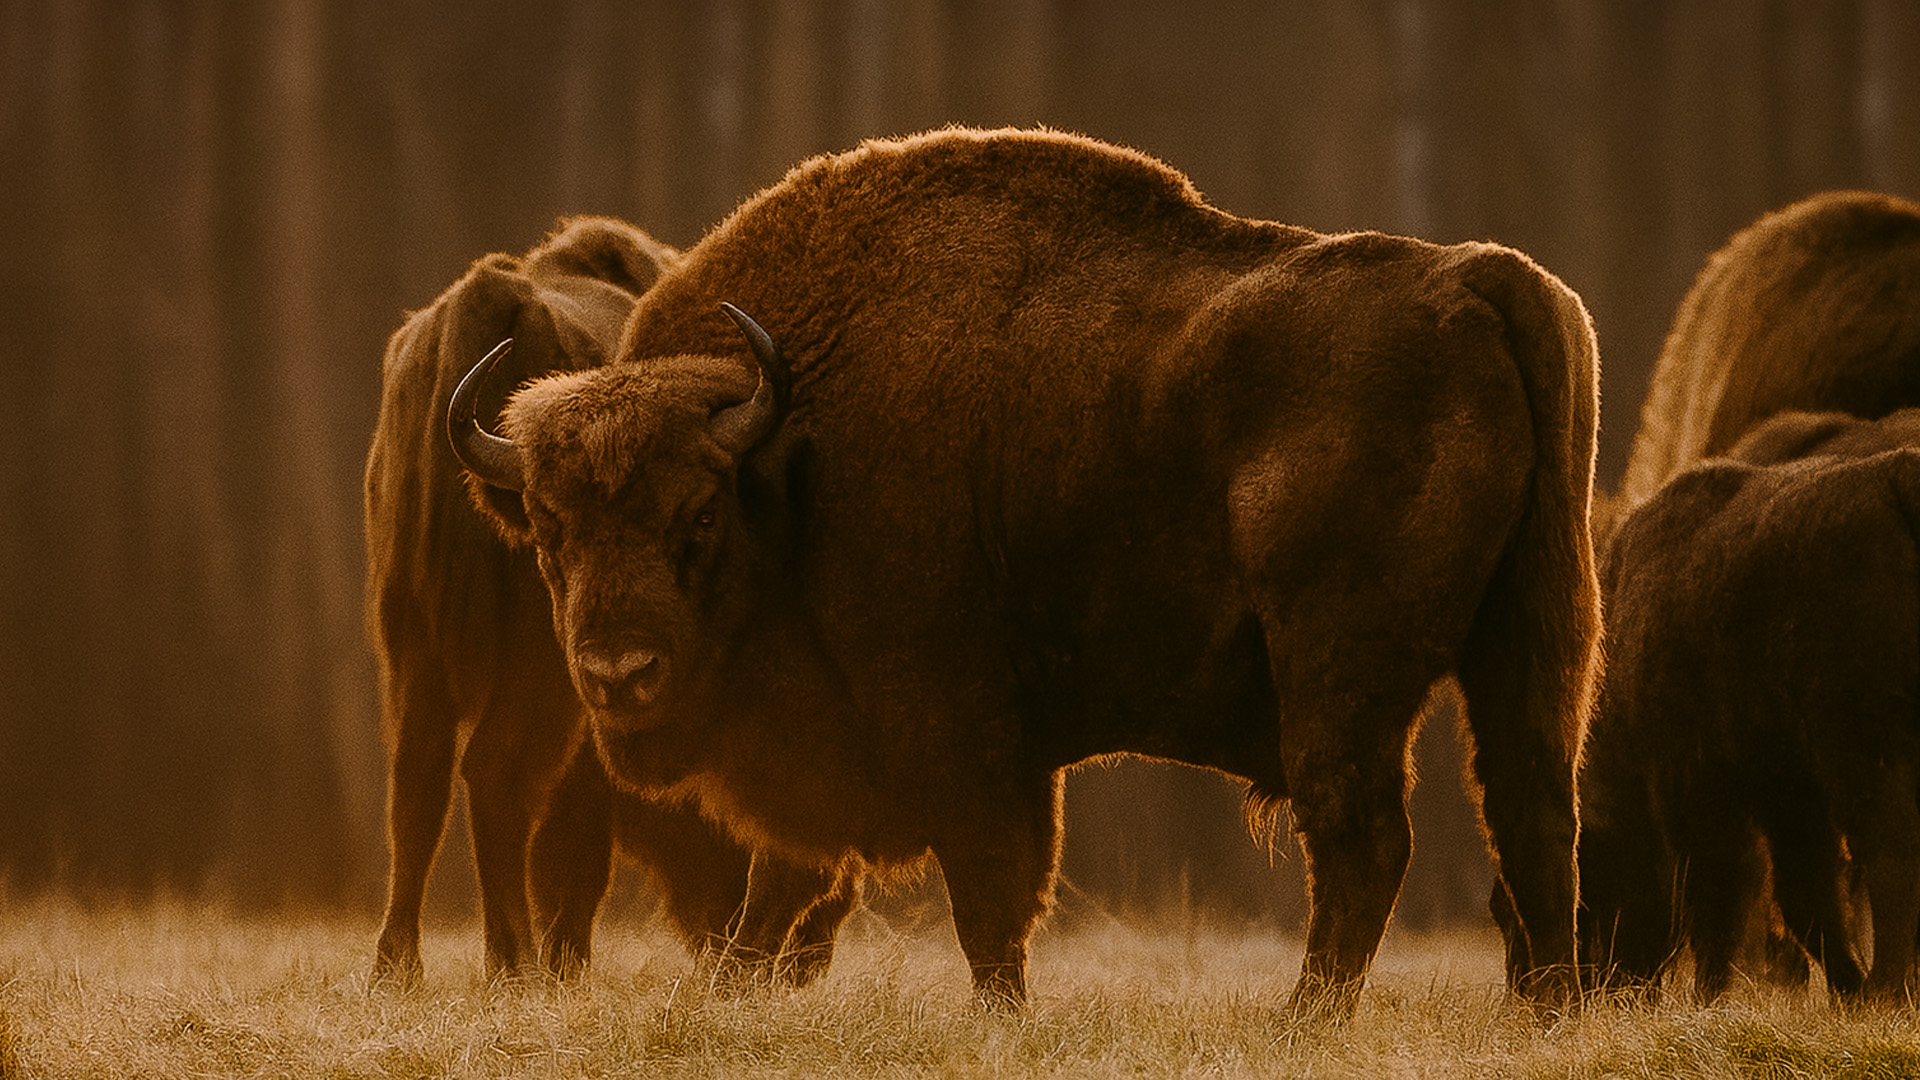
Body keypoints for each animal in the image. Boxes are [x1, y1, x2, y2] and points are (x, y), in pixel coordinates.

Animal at [365, 217, 849, 986]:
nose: (805, 956)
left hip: (413, 646)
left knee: (419, 784)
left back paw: (400, 968)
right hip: (542, 679)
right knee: (495, 775)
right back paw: (516, 964)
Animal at [449, 128, 1603, 1011]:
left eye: (696, 516)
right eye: (547, 532)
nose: (618, 676)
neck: (790, 452)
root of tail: (1476, 278)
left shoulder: (957, 728)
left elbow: (986, 889)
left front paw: (1001, 1014)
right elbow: (784, 886)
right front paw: (733, 994)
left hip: (1338, 669)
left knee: (1364, 836)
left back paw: (1303, 1021)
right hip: (1531, 647)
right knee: (1535, 816)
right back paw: (1539, 1014)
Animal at [1583, 407, 1920, 1004]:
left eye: (1594, 873)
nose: (1589, 990)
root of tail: (1899, 478)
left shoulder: (1702, 781)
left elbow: (1727, 891)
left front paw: (1715, 993)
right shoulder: (1785, 792)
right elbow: (1804, 897)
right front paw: (1845, 987)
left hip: (1868, 748)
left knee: (1891, 849)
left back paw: (1886, 989)